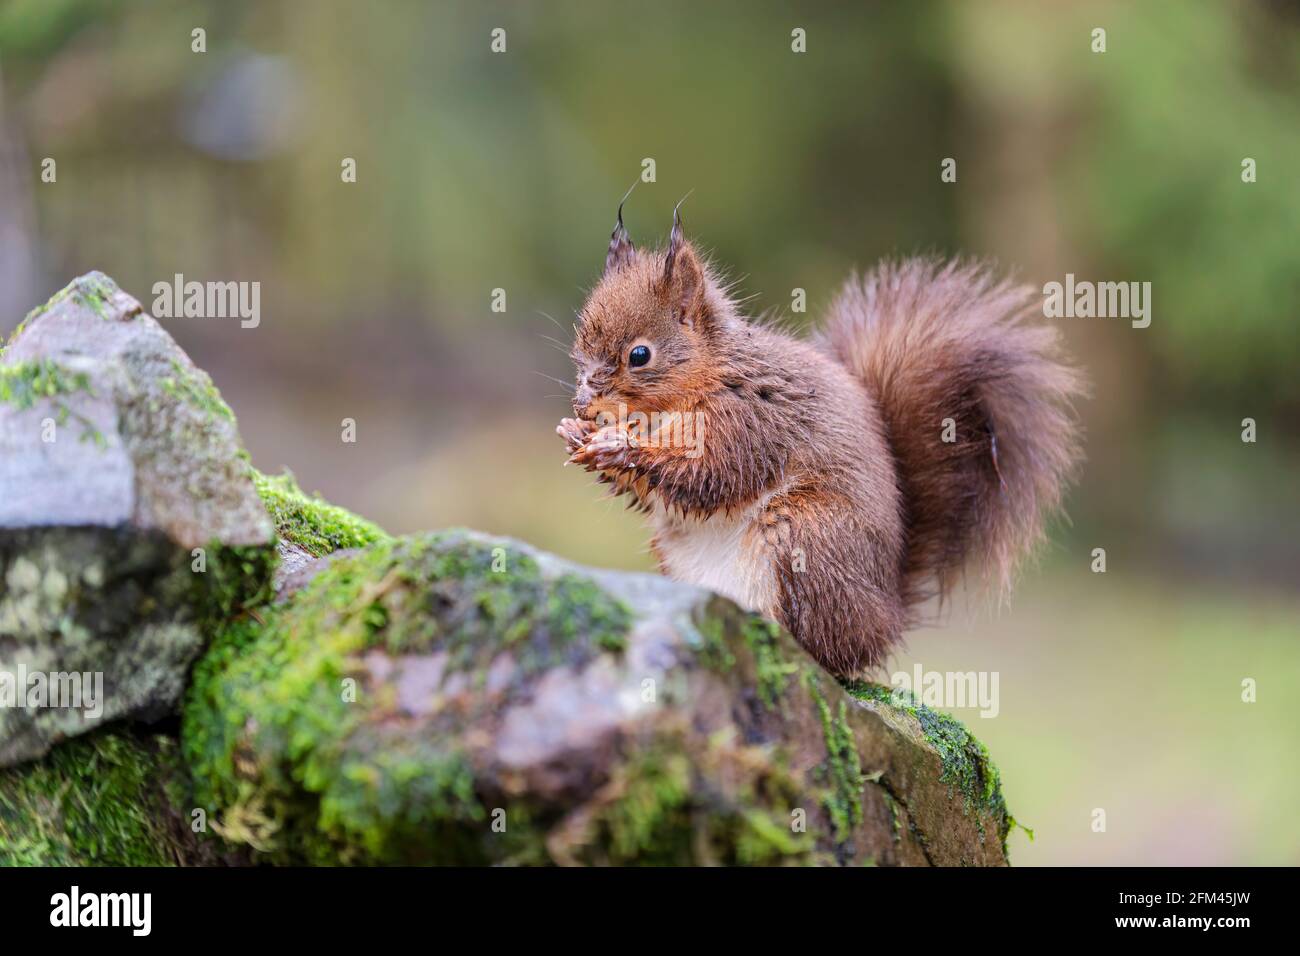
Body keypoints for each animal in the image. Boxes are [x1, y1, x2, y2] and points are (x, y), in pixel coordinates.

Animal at [558, 201, 1084, 677]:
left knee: (823, 652)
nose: (583, 404)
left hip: (803, 533)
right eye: (579, 349)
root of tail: (886, 616)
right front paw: (578, 434)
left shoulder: (751, 420)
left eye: (639, 355)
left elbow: (711, 475)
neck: (708, 373)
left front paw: (617, 446)